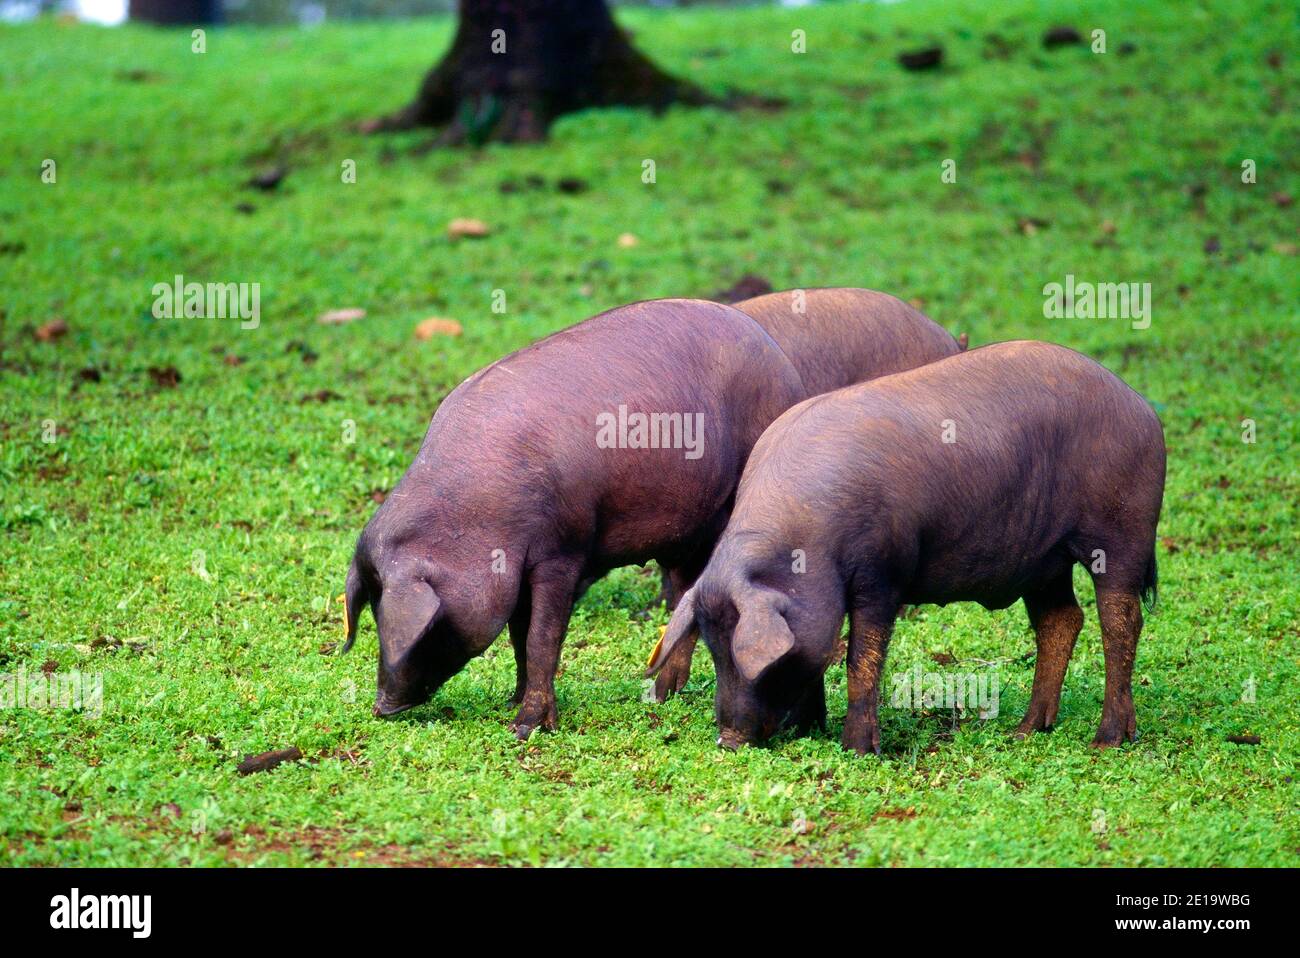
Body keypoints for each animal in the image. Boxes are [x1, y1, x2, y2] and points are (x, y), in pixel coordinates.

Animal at [342, 291, 962, 737]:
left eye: (406, 622)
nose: (381, 707)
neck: (478, 514)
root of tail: (775, 355)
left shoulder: (562, 551)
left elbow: (542, 637)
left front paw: (525, 728)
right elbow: (519, 635)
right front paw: (513, 702)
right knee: (685, 591)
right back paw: (661, 694)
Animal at [647, 341, 1166, 754]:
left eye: (743, 655)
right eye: (713, 650)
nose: (728, 740)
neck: (807, 546)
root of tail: (1141, 406)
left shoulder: (883, 573)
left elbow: (860, 657)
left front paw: (858, 749)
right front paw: (810, 731)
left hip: (1122, 532)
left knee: (1121, 621)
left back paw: (1107, 740)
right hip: (1044, 561)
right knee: (1061, 621)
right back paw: (1025, 731)